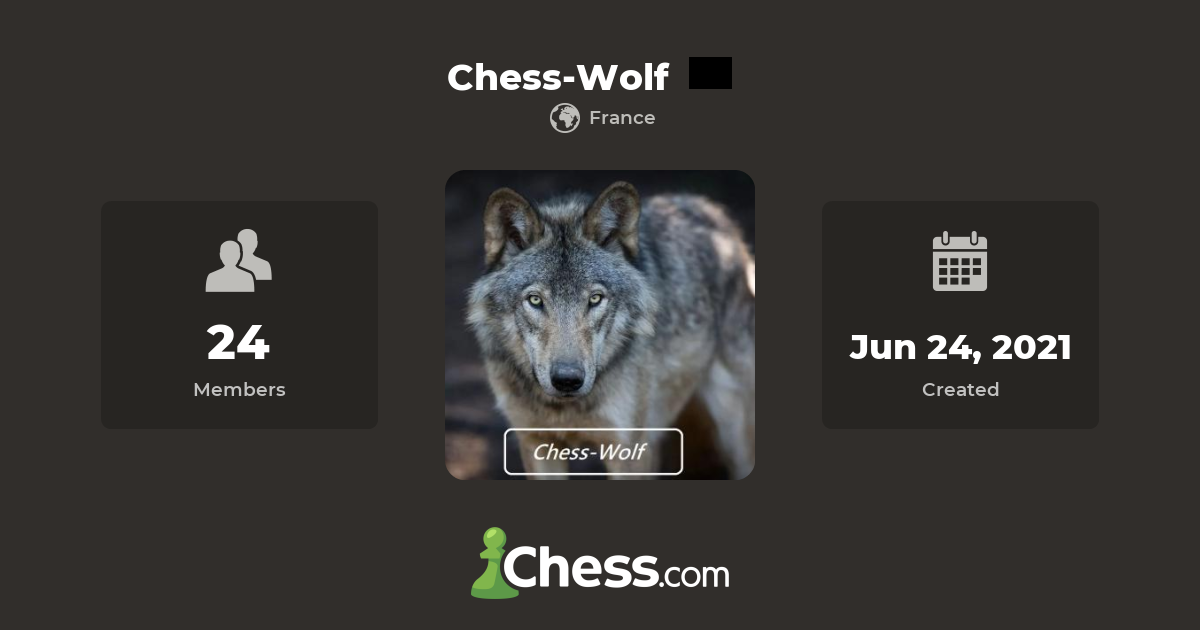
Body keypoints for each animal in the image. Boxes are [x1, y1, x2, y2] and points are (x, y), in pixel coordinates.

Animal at [467, 181, 755, 479]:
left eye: (595, 299)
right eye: (535, 300)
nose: (567, 380)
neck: (565, 409)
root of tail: (710, 209)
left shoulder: (627, 449)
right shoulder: (537, 443)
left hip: (732, 430)